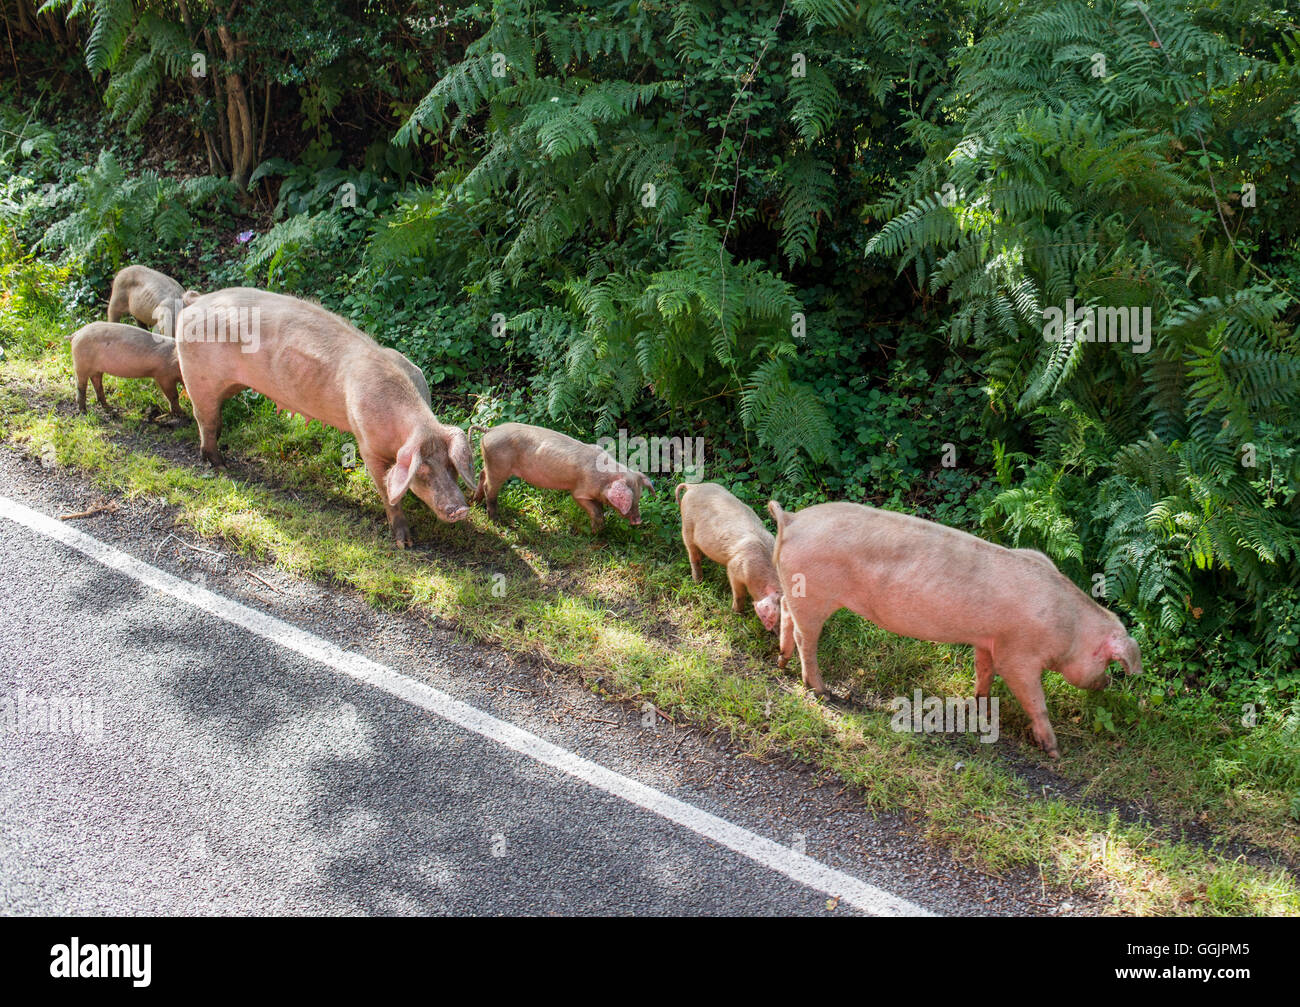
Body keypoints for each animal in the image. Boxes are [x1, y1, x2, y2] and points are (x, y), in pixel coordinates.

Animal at [175, 288, 473, 547]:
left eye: (451, 466)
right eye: (422, 471)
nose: (461, 509)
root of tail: (195, 300)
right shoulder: (366, 445)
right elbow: (386, 493)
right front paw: (405, 543)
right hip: (198, 379)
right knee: (204, 420)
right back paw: (221, 466)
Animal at [473, 422, 653, 532]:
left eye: (638, 497)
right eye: (628, 500)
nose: (638, 521)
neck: (604, 480)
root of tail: (490, 430)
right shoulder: (580, 492)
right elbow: (595, 510)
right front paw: (595, 532)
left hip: (490, 462)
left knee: (482, 474)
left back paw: (475, 502)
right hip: (499, 466)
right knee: (489, 487)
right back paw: (496, 521)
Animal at [676, 482, 781, 630]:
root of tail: (692, 487)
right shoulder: (734, 568)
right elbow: (739, 594)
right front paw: (736, 613)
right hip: (686, 527)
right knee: (693, 555)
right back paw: (698, 581)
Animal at [767, 500, 1142, 758]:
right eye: (1108, 662)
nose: (1106, 683)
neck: (1068, 629)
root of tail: (793, 520)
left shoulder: (988, 640)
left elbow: (984, 670)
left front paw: (979, 705)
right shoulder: (1018, 653)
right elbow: (1032, 697)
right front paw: (1054, 751)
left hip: (795, 590)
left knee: (786, 613)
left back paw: (781, 663)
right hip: (814, 596)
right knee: (805, 637)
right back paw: (822, 691)